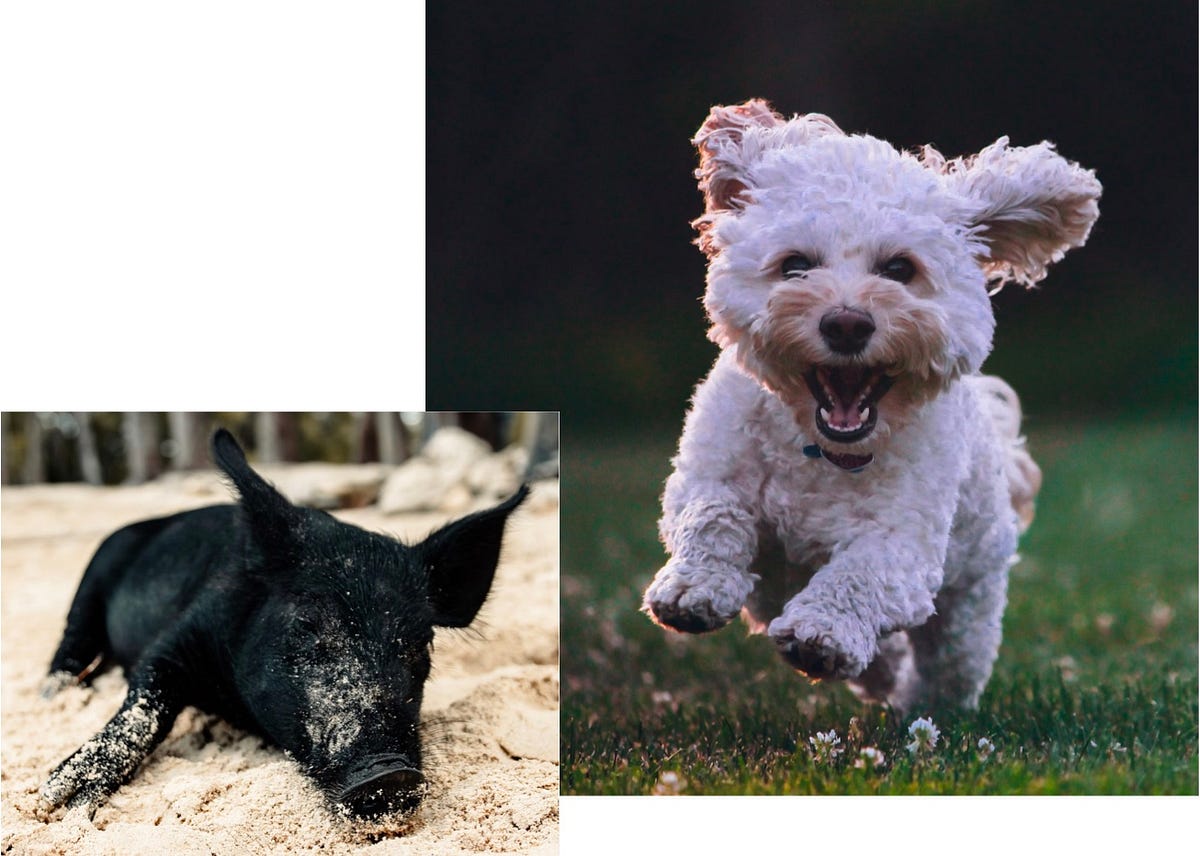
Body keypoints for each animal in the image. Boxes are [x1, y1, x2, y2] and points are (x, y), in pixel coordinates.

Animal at [39, 428, 528, 820]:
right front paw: (59, 800)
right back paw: (57, 696)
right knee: (70, 649)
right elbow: (146, 706)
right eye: (307, 626)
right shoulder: (178, 637)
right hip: (90, 581)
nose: (389, 772)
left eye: (419, 645)